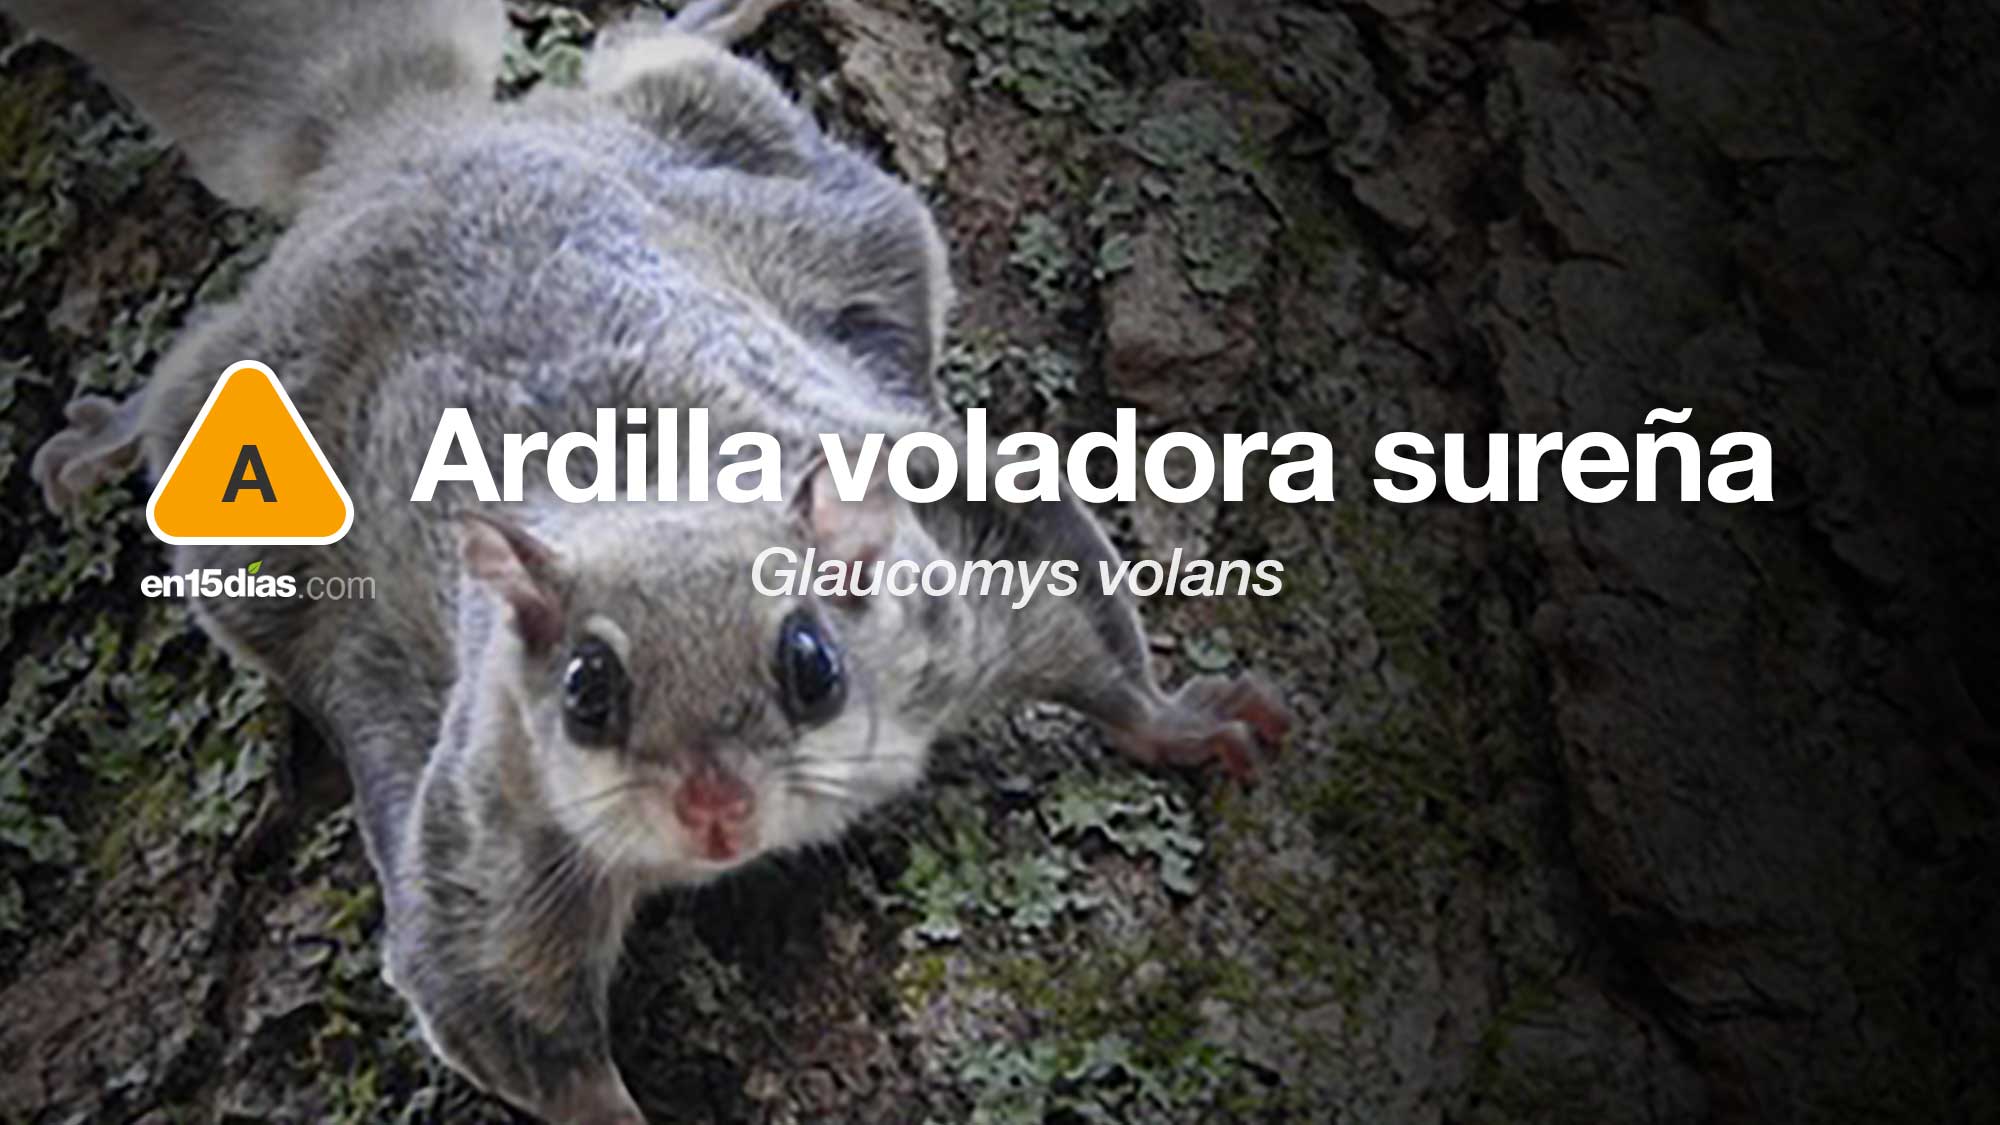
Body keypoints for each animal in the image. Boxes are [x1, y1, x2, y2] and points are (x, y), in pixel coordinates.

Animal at [12, 0, 1293, 1121]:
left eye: (812, 665)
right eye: (586, 692)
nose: (713, 811)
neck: (649, 487)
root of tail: (401, 138)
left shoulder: (961, 563)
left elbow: (1088, 633)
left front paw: (1181, 722)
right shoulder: (496, 826)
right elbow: (492, 1002)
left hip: (793, 185)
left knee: (644, 64)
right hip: (237, 462)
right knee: (186, 382)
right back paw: (107, 435)